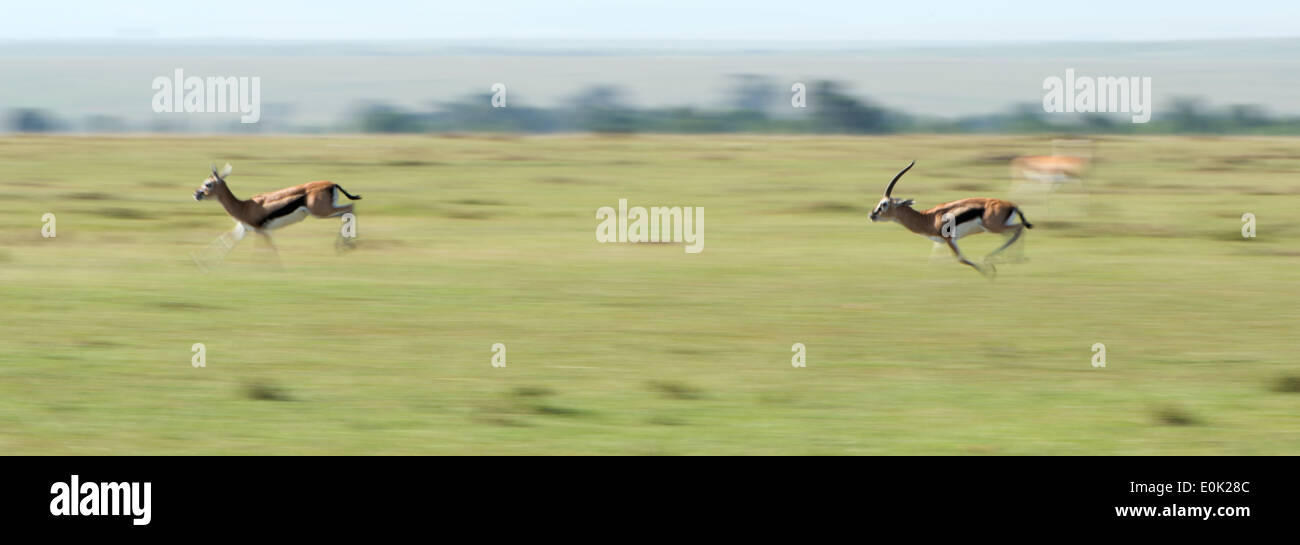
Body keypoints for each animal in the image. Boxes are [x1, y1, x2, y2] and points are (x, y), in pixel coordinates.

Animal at [191, 164, 361, 267]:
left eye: (208, 184)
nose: (196, 194)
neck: (244, 206)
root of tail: (332, 184)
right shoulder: (244, 229)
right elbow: (223, 242)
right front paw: (201, 263)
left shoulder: (260, 230)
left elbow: (265, 250)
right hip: (326, 212)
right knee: (346, 212)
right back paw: (344, 247)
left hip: (321, 212)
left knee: (350, 208)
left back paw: (345, 247)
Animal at [869, 161, 1033, 277]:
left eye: (884, 204)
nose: (872, 215)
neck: (929, 217)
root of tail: (1012, 205)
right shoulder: (939, 243)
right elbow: (935, 258)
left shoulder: (949, 239)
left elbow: (960, 259)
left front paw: (988, 272)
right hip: (999, 228)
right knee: (1012, 234)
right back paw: (1011, 260)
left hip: (993, 227)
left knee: (1019, 229)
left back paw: (1006, 260)